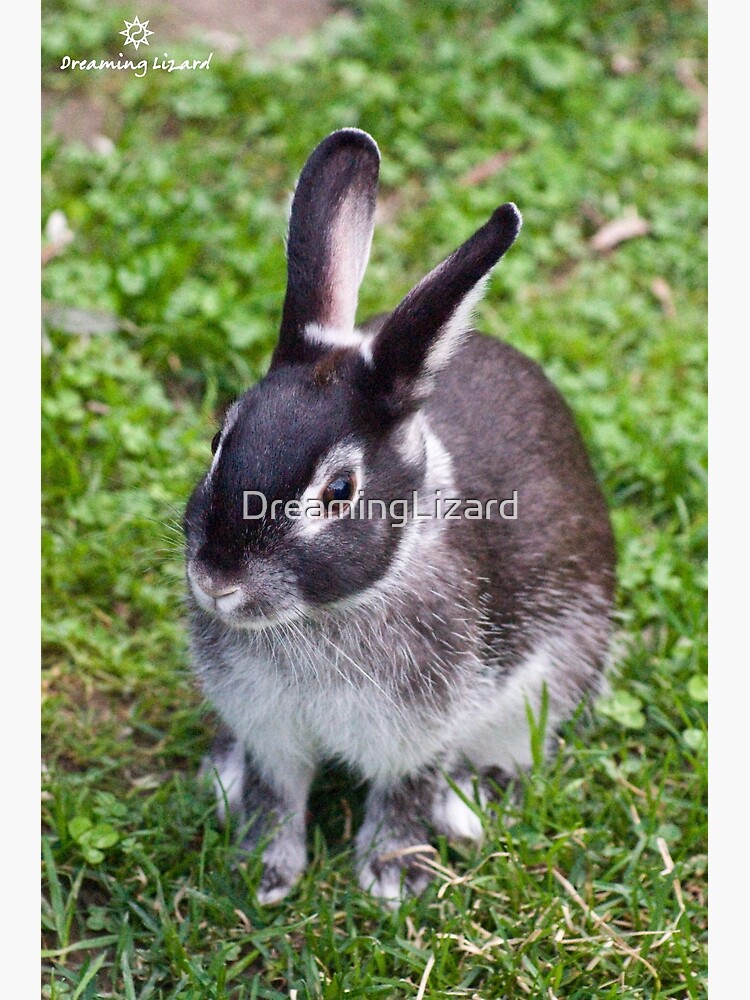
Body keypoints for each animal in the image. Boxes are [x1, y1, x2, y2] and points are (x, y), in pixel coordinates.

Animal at [184, 128, 616, 905]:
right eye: (218, 442)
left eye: (339, 490)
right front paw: (263, 871)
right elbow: (275, 791)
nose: (216, 583)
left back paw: (469, 806)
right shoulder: (269, 728)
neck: (326, 613)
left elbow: (405, 789)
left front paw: (392, 875)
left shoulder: (422, 730)